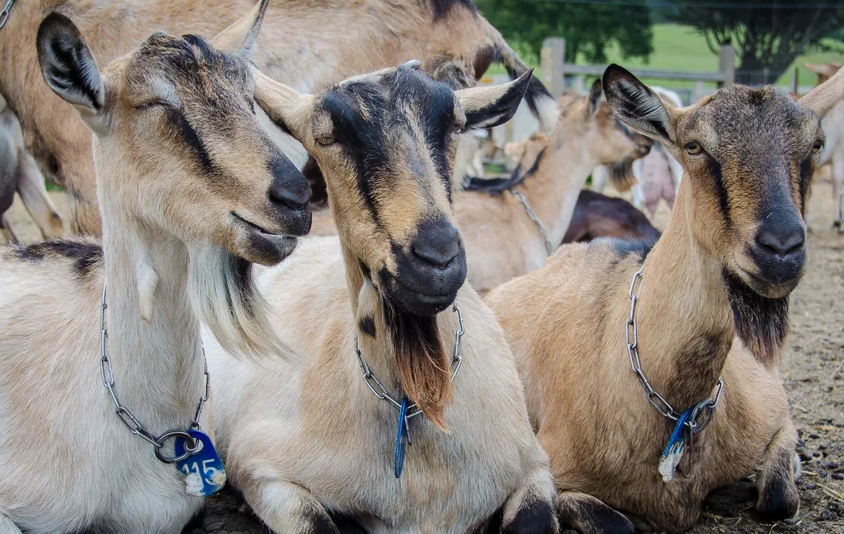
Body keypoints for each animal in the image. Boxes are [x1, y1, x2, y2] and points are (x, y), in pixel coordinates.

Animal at [485, 64, 844, 533]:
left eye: (816, 144)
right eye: (694, 146)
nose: (780, 249)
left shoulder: (773, 409)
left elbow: (780, 495)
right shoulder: (551, 465)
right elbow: (612, 521)